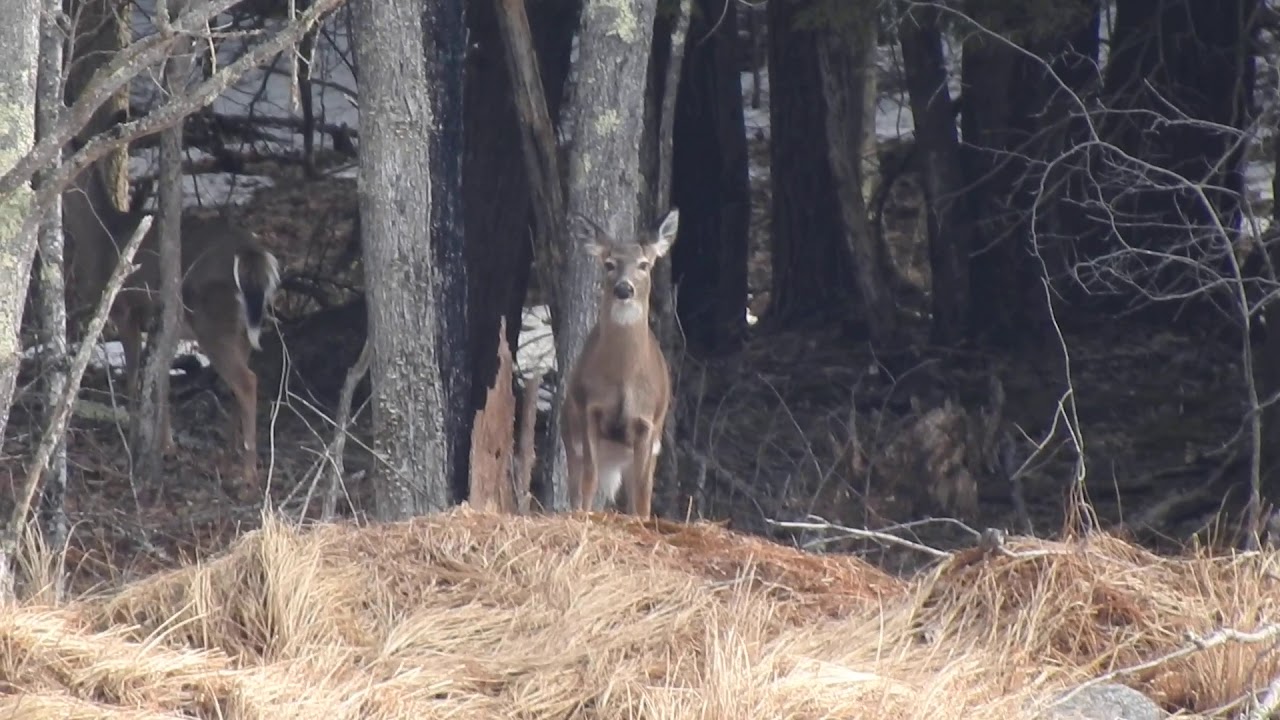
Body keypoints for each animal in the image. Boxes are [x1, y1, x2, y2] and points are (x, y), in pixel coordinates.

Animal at [61, 157, 280, 491]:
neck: (101, 236)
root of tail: (252, 254)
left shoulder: (125, 309)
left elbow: (135, 377)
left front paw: (134, 439)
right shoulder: (162, 324)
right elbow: (160, 380)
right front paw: (166, 444)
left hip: (211, 320)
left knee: (246, 381)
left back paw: (247, 472)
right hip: (240, 327)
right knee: (238, 381)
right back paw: (231, 453)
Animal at [560, 208, 679, 520]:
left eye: (644, 265)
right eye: (609, 264)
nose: (624, 289)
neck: (624, 379)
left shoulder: (647, 422)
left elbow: (642, 493)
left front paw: (641, 522)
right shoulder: (590, 409)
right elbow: (588, 480)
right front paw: (583, 517)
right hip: (570, 434)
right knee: (576, 482)